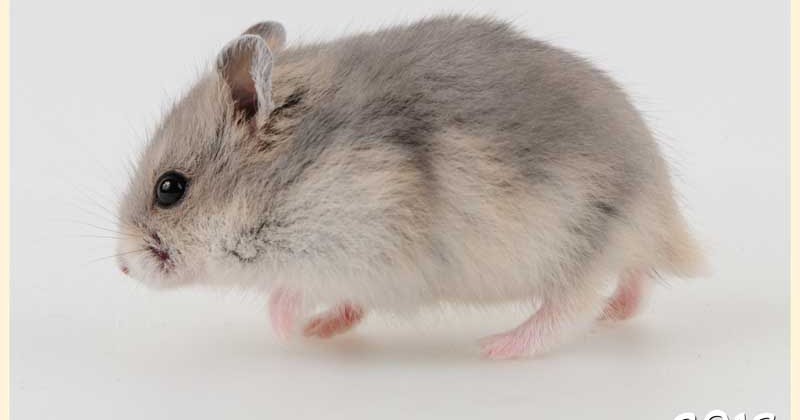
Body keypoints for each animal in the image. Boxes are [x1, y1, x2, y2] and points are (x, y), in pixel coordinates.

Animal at [116, 15, 706, 359]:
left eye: (170, 188)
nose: (122, 267)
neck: (286, 179)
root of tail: (664, 216)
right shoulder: (363, 272)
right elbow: (350, 303)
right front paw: (316, 333)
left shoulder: (355, 245)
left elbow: (292, 290)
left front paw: (287, 330)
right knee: (635, 282)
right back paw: (613, 315)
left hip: (578, 240)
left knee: (572, 307)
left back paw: (497, 347)